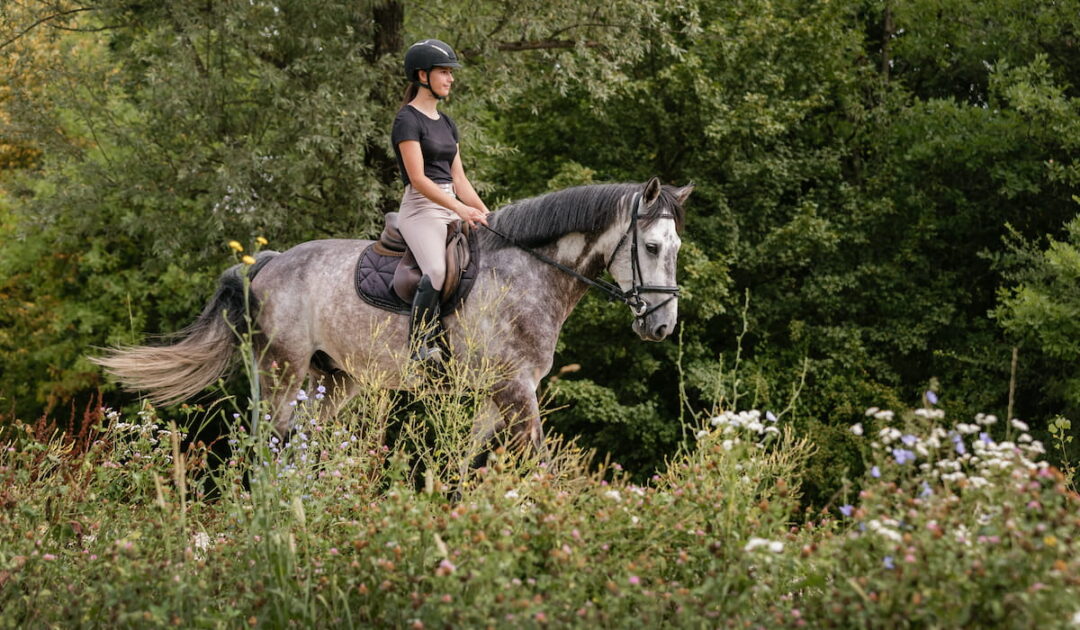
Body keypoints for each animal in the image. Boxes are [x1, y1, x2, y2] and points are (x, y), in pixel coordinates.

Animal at [92, 177, 691, 454]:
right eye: (652, 246)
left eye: (676, 246)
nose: (661, 326)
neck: (529, 270)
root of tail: (266, 264)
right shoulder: (515, 389)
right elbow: (534, 463)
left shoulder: (496, 394)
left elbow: (463, 461)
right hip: (280, 370)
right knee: (268, 440)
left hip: (335, 380)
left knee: (300, 442)